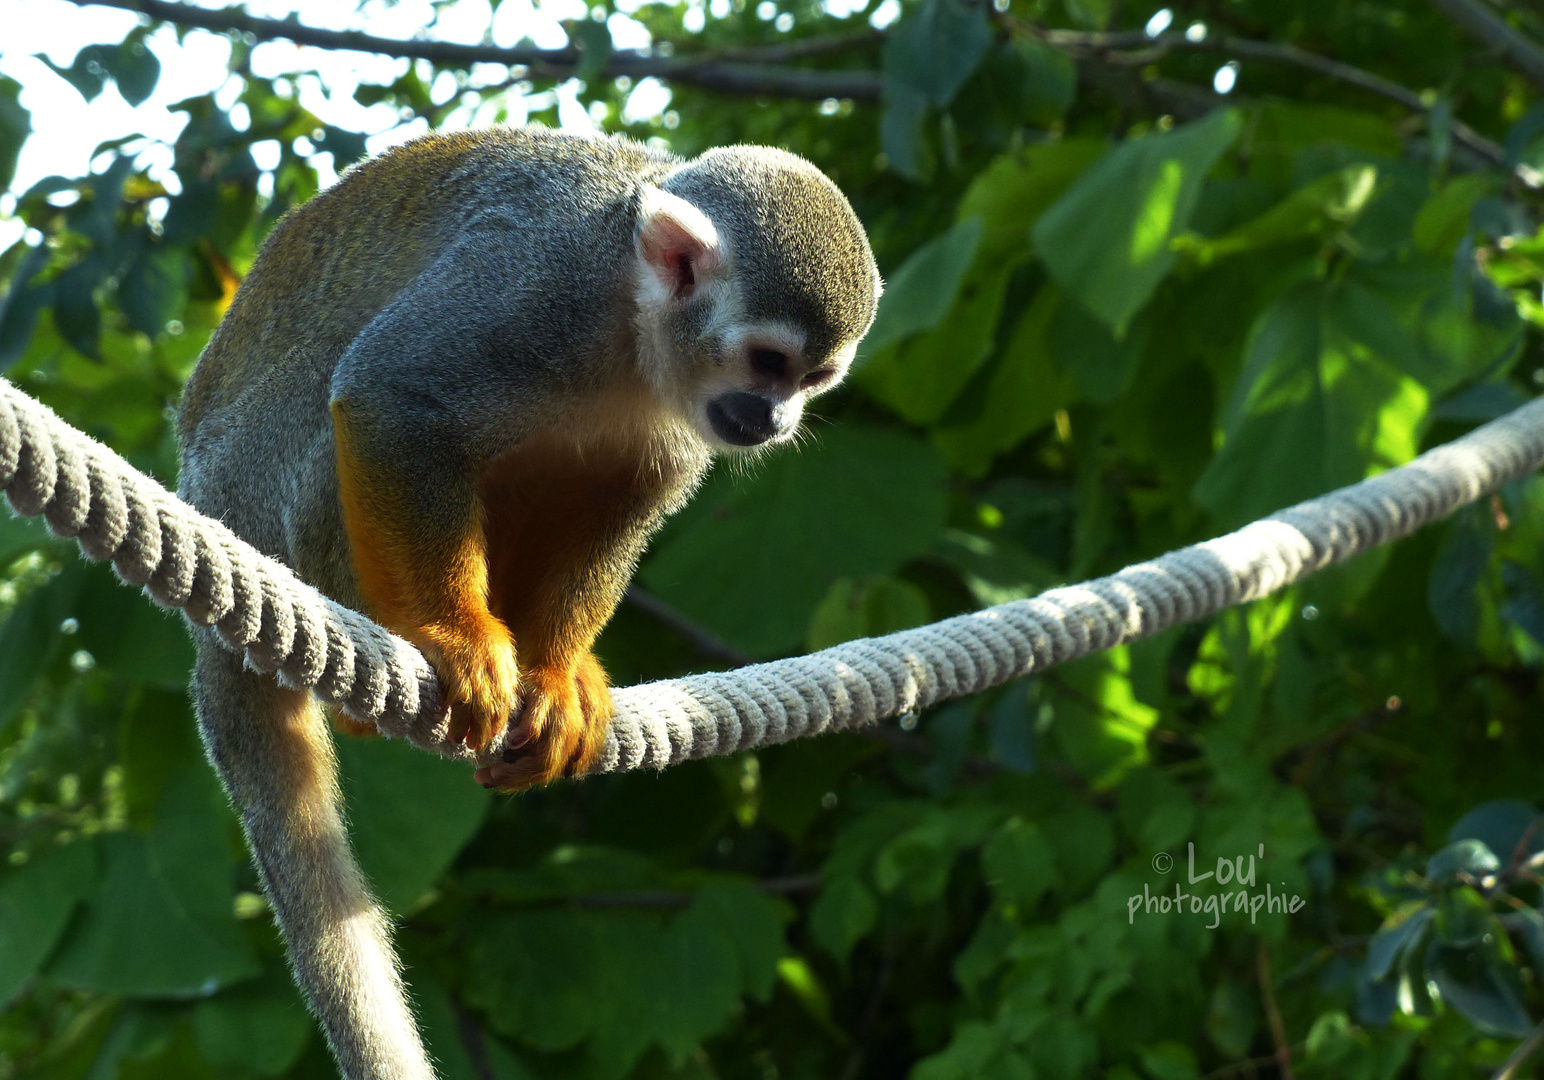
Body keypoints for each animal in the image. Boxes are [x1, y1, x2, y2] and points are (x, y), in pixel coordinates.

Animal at [175, 125, 880, 1079]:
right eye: (769, 362)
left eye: (814, 378)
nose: (774, 421)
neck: (630, 315)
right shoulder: (534, 285)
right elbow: (393, 392)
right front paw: (451, 634)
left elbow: (621, 502)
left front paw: (551, 676)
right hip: (260, 493)